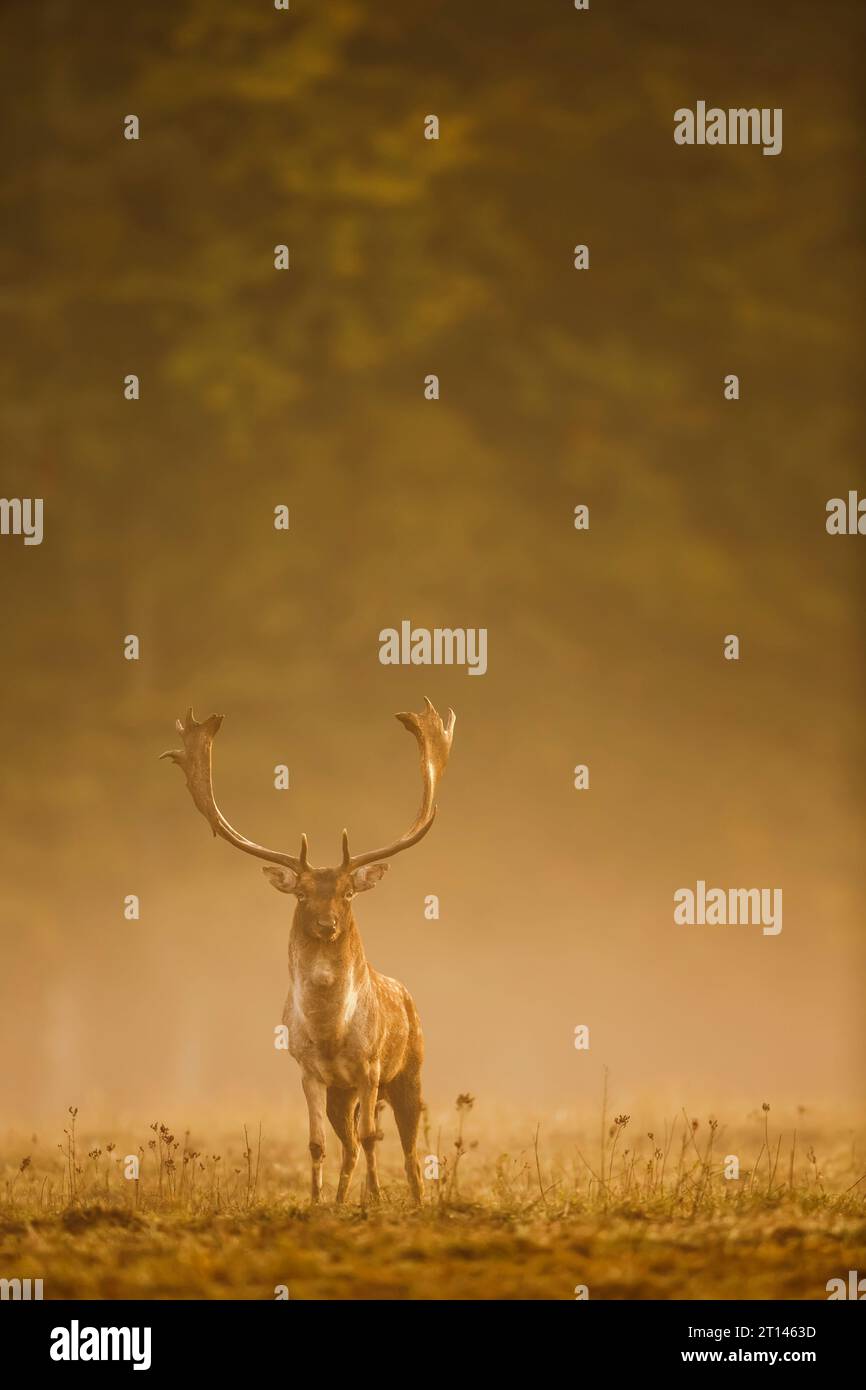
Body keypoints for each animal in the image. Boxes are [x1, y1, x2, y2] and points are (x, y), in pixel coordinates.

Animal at [161, 697, 455, 1206]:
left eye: (348, 893)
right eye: (301, 894)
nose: (326, 924)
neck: (330, 1030)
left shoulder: (370, 1066)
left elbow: (374, 1137)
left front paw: (375, 1198)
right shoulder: (309, 1071)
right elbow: (317, 1143)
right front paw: (318, 1202)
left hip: (409, 1071)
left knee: (407, 1147)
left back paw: (414, 1198)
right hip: (342, 1094)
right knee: (348, 1143)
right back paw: (340, 1198)